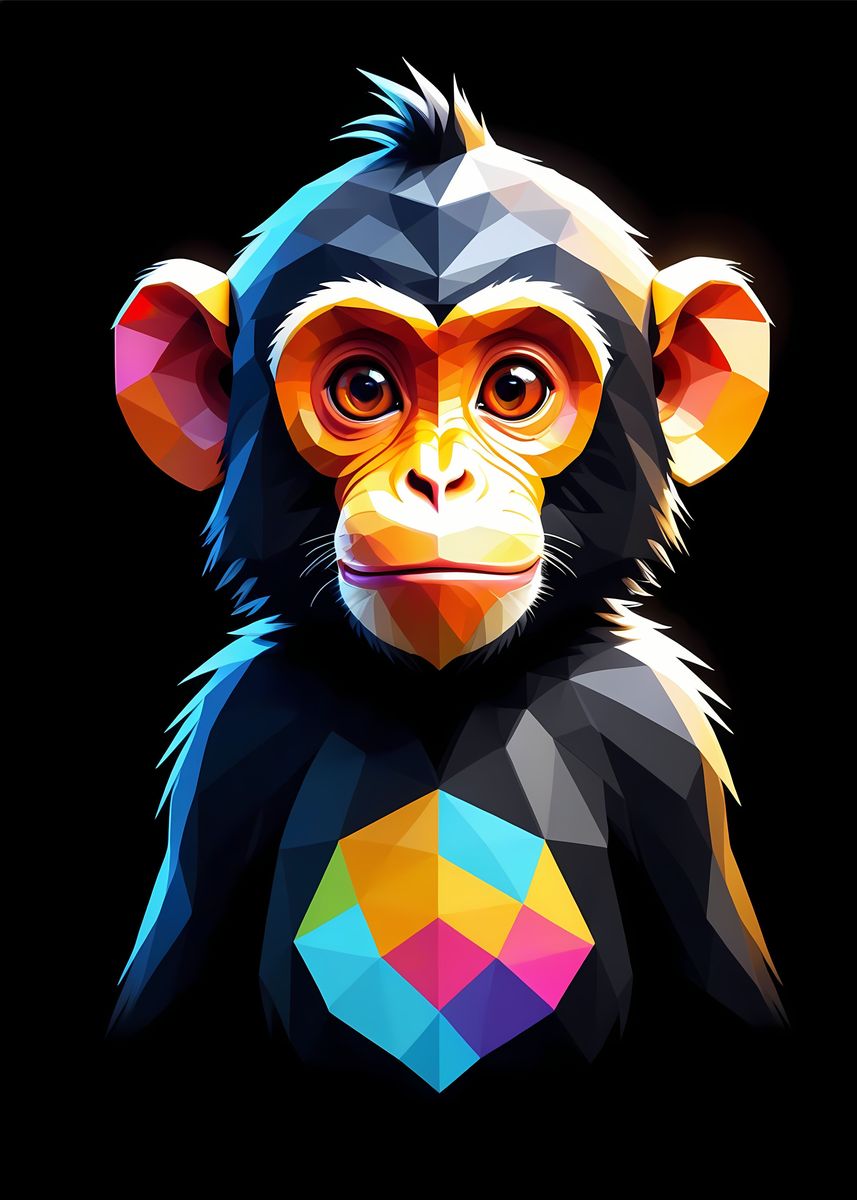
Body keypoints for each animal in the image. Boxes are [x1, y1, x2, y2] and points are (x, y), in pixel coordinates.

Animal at [110, 63, 783, 1092]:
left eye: (513, 386)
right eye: (363, 388)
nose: (437, 479)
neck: (442, 698)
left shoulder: (655, 737)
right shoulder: (236, 741)